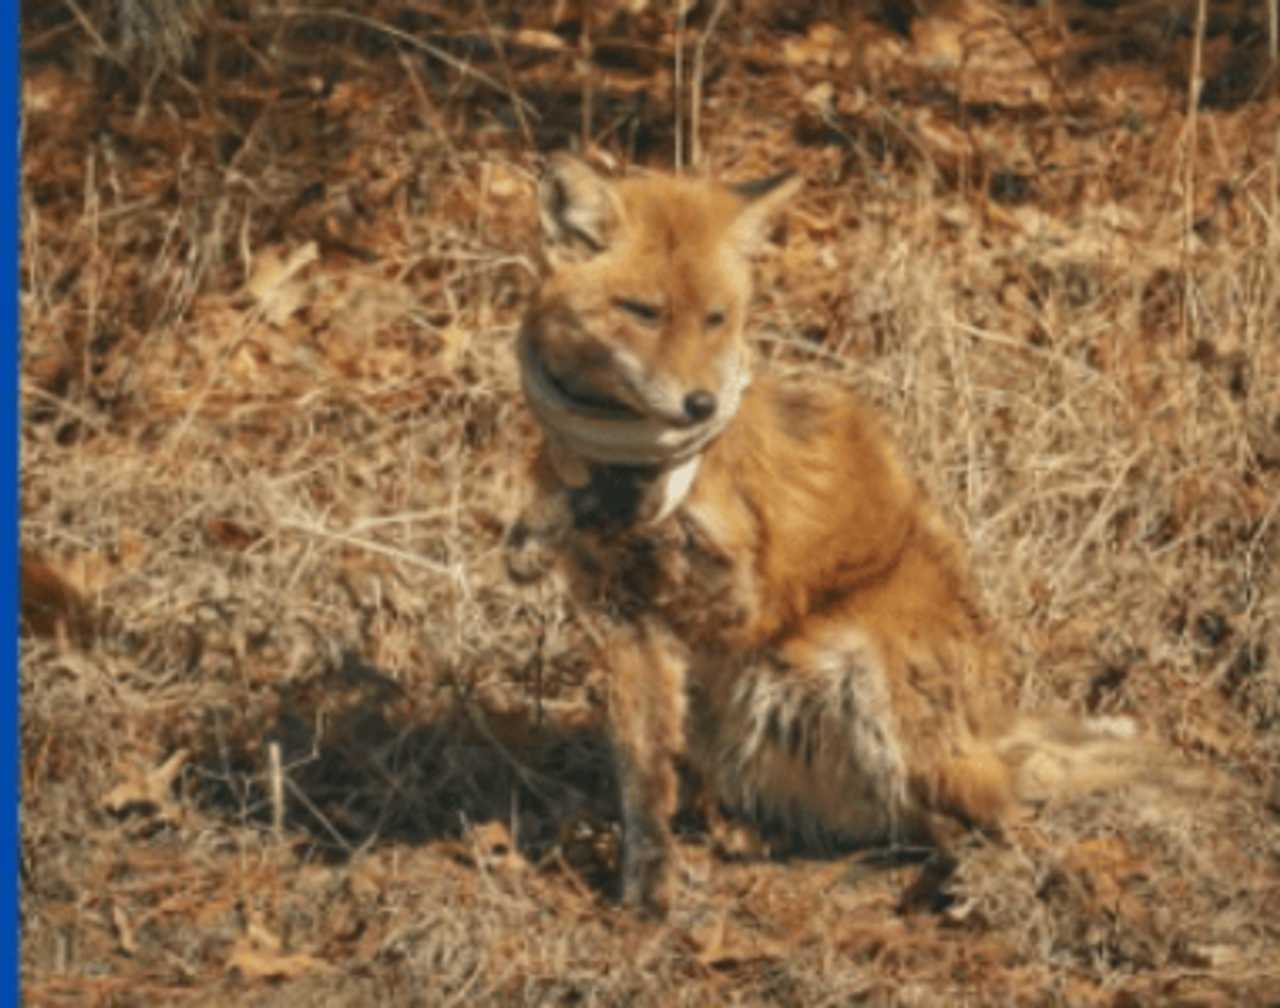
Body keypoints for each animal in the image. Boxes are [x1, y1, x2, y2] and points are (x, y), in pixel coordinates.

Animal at [505, 153, 1191, 915]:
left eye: (716, 319)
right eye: (643, 312)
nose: (701, 405)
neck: (626, 456)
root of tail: (995, 725)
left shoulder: (745, 594)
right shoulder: (623, 618)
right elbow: (643, 771)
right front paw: (646, 884)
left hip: (859, 669)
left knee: (976, 811)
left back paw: (939, 874)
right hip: (736, 719)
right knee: (880, 815)